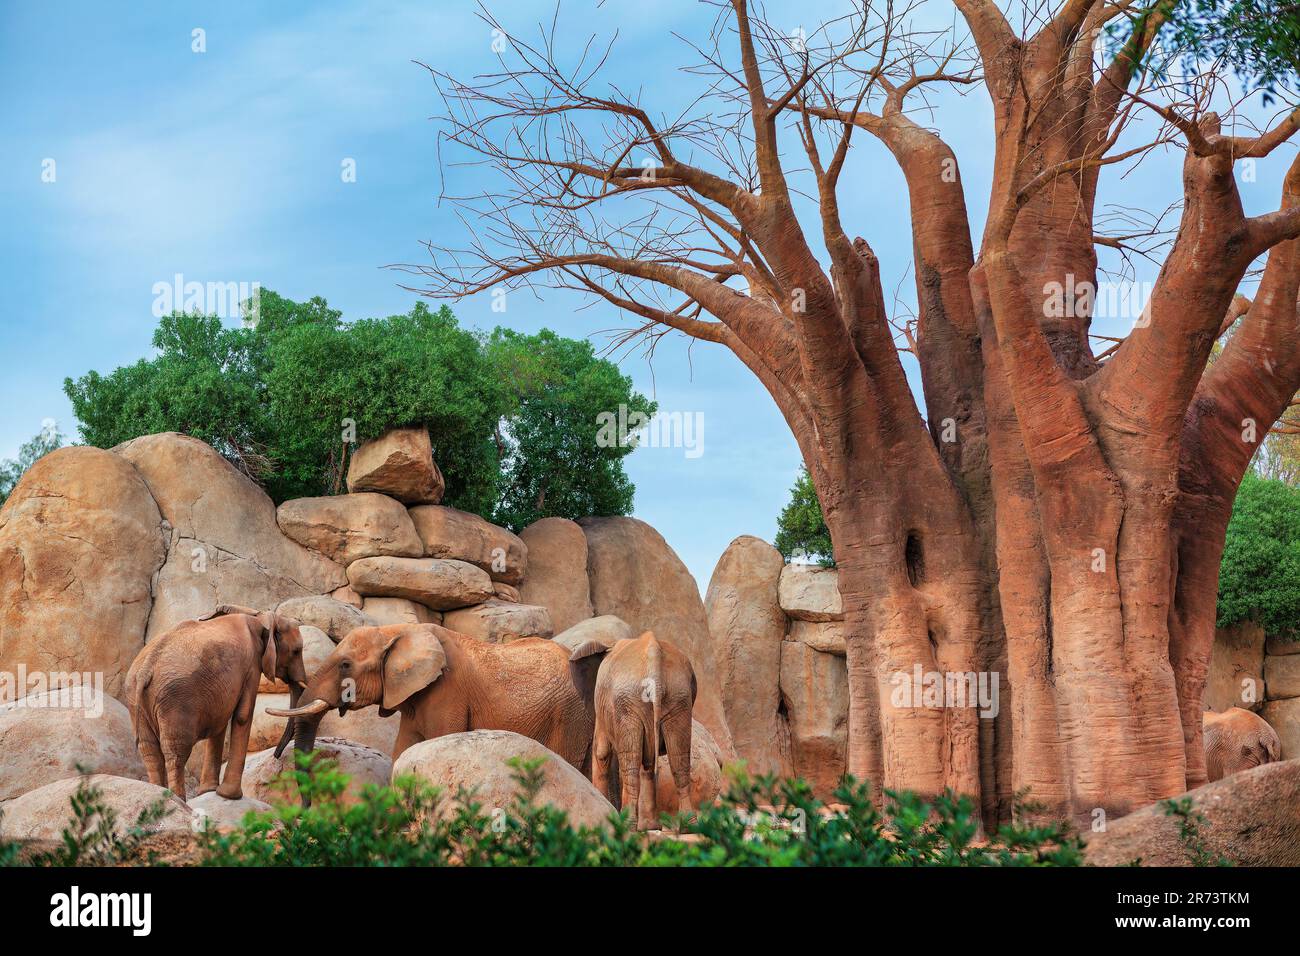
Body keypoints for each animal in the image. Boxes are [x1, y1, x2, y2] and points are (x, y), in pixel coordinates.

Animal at [124, 604, 308, 800]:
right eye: (297, 651)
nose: (277, 755)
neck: (258, 616)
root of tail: (146, 669)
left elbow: (221, 722)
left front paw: (209, 792)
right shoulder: (252, 665)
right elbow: (243, 715)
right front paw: (231, 796)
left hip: (135, 698)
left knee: (149, 750)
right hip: (174, 701)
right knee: (175, 752)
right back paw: (179, 800)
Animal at [265, 623, 608, 778]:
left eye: (345, 665)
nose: (277, 757)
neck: (399, 630)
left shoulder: (448, 692)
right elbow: (402, 751)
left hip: (569, 714)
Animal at [591, 630, 696, 829]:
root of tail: (653, 652)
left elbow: (601, 750)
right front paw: (650, 827)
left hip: (627, 701)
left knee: (630, 761)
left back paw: (627, 825)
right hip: (678, 696)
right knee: (679, 759)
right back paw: (689, 825)